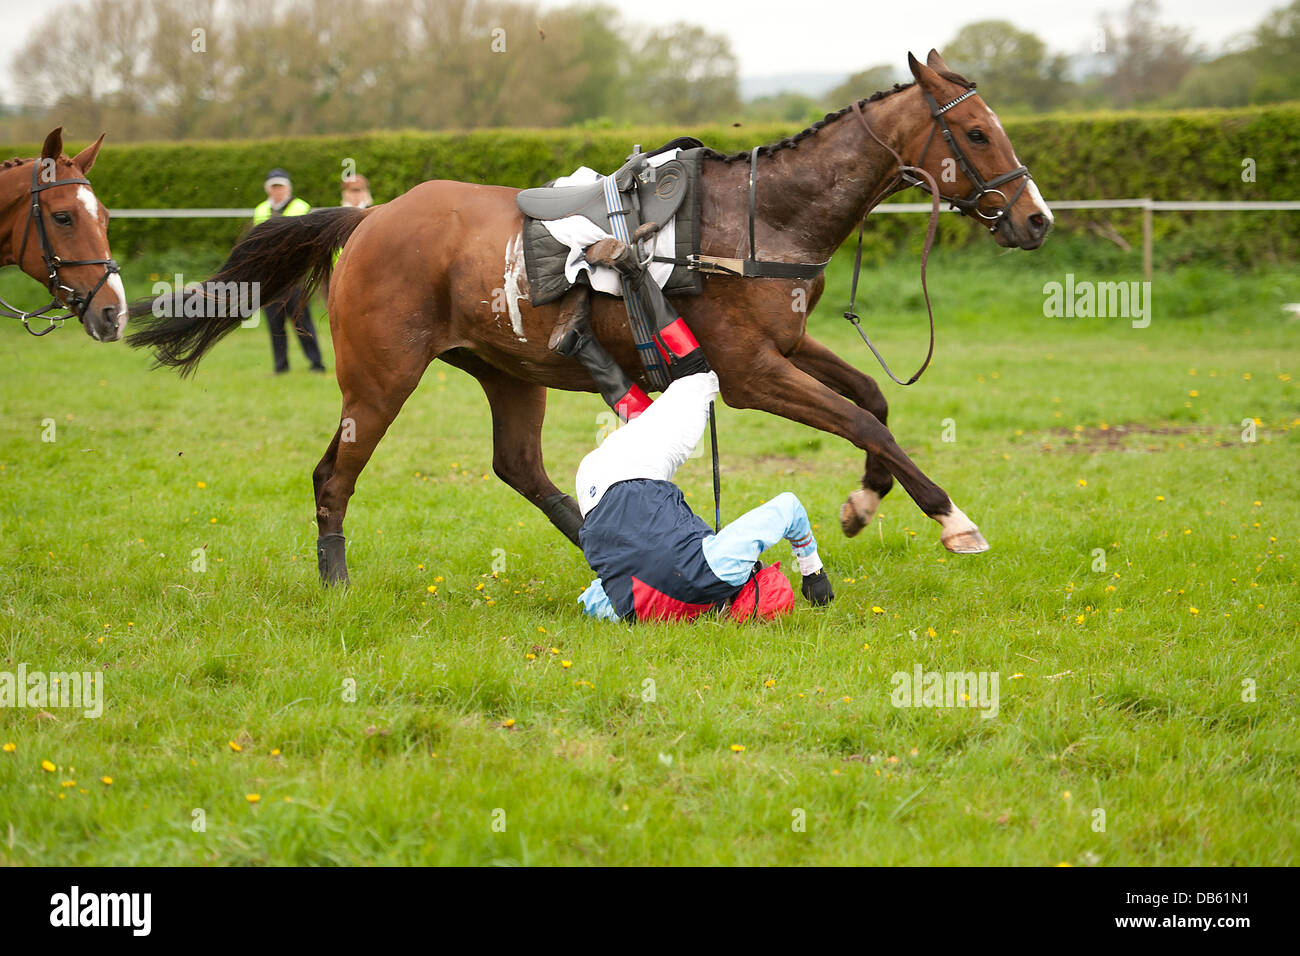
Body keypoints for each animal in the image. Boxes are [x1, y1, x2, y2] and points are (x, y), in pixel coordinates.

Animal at [127, 50, 1053, 585]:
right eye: (977, 133)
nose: (1037, 219)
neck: (761, 218)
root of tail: (370, 217)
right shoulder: (751, 374)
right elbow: (867, 418)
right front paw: (952, 520)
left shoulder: (787, 345)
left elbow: (873, 401)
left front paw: (865, 503)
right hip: (381, 378)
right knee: (332, 476)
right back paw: (335, 582)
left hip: (509, 372)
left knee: (520, 468)